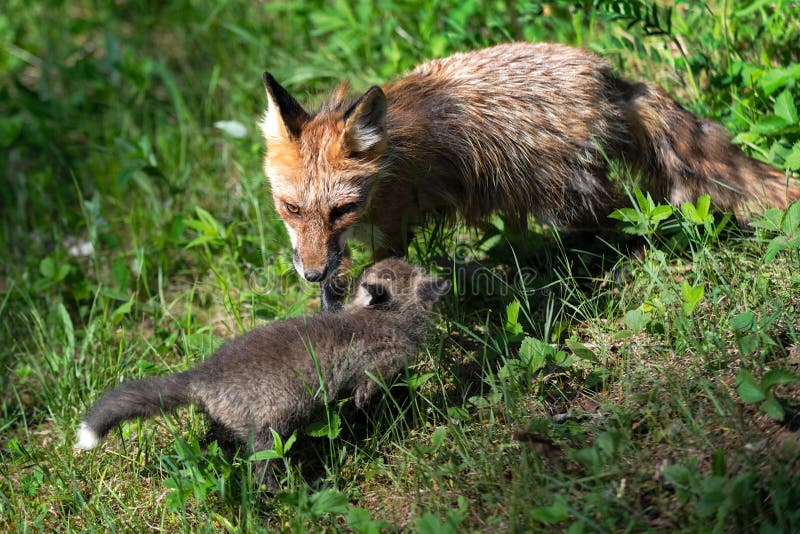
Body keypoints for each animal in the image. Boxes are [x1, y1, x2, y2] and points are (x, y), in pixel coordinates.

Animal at [75, 258, 449, 490]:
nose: (442, 284)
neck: (381, 318)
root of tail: (202, 374)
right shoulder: (377, 365)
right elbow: (368, 391)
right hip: (271, 430)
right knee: (259, 469)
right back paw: (282, 493)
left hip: (228, 427)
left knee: (215, 443)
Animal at [259, 42, 799, 309]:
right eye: (291, 208)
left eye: (342, 209)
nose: (309, 274)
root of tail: (608, 77)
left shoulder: (392, 228)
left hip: (568, 200)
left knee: (630, 215)